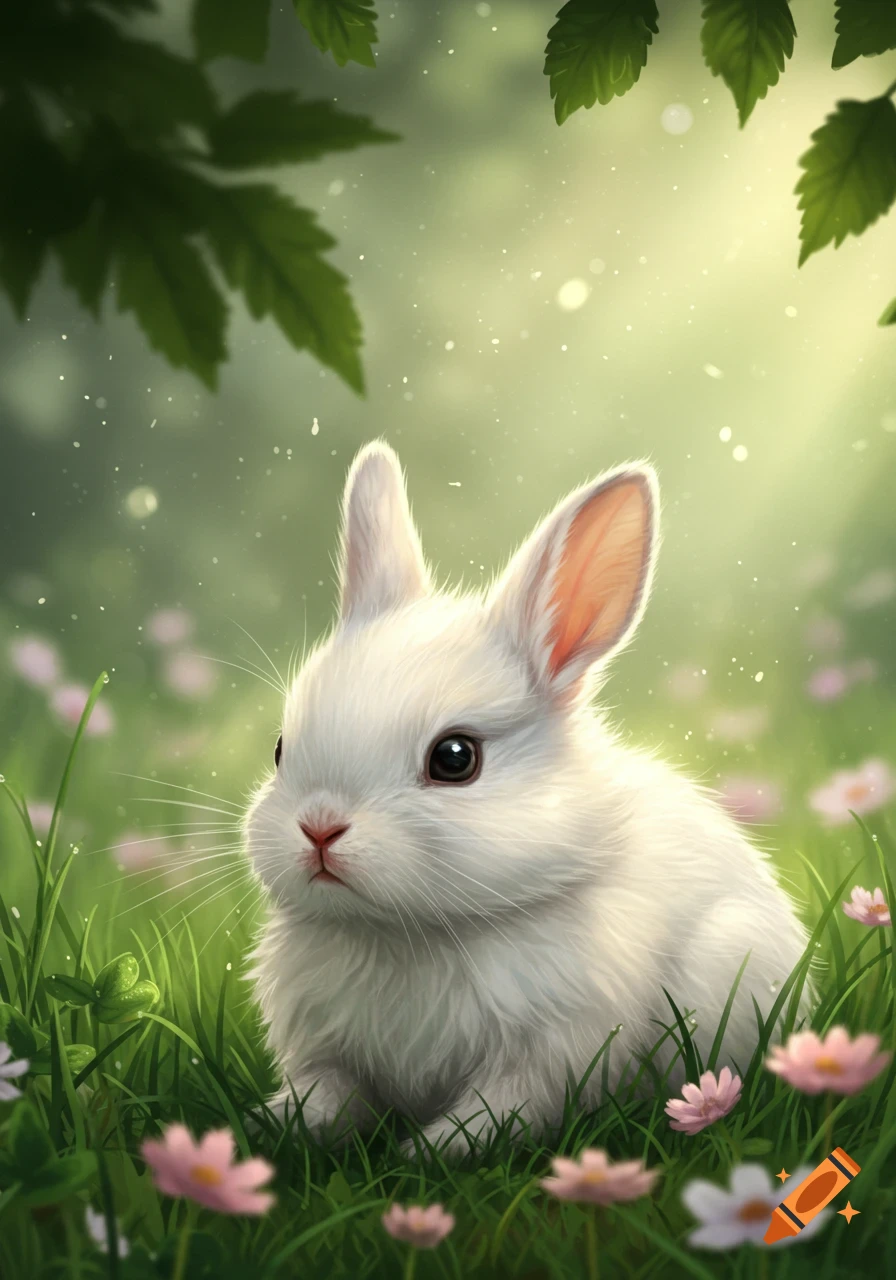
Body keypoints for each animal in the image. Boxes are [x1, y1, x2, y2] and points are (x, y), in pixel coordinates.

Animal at [244, 440, 811, 1157]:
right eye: (280, 748)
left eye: (455, 758)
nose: (319, 828)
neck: (406, 933)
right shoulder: (327, 1049)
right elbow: (328, 1094)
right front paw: (270, 1124)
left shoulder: (552, 1048)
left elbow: (504, 1106)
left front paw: (433, 1150)